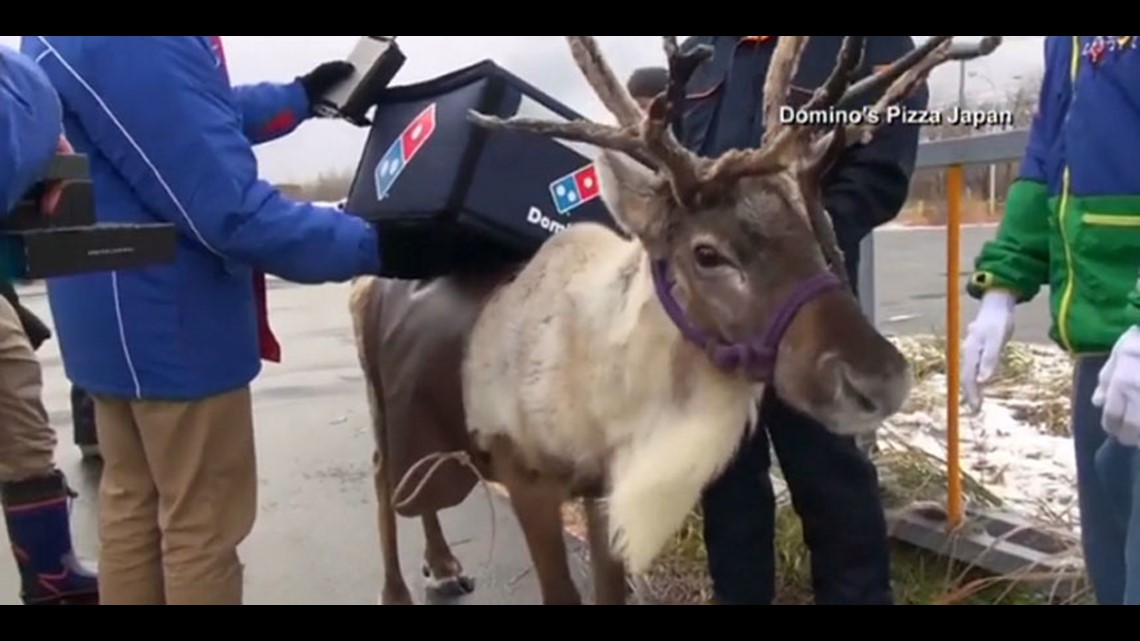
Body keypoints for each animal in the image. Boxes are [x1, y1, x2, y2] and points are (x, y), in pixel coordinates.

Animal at [348, 35, 1003, 605]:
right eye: (707, 253)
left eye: (813, 231)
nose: (881, 379)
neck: (606, 394)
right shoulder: (527, 477)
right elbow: (562, 593)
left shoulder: (600, 489)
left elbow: (610, 594)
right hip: (380, 395)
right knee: (383, 477)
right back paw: (398, 589)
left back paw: (443, 564)